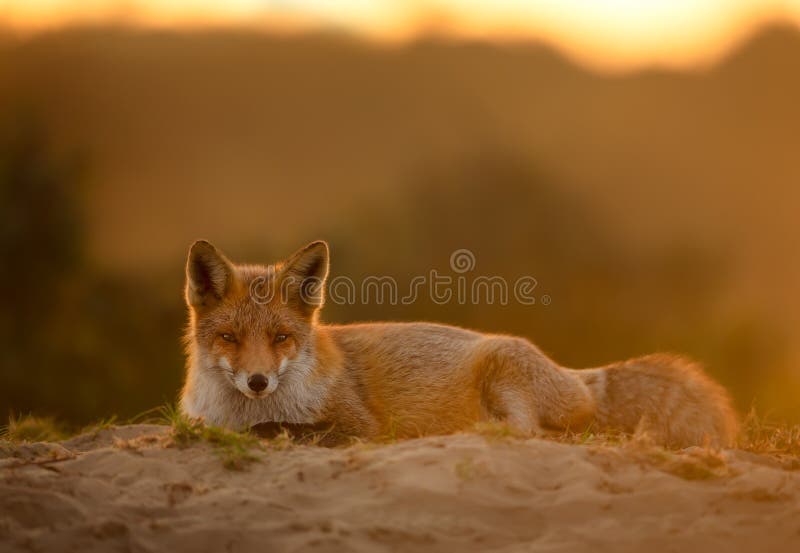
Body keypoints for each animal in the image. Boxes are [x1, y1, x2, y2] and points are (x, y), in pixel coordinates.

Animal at [180, 240, 739, 448]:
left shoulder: (358, 425)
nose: (257, 380)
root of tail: (575, 374)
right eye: (229, 337)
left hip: (502, 370)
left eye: (281, 338)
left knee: (529, 432)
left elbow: (280, 428)